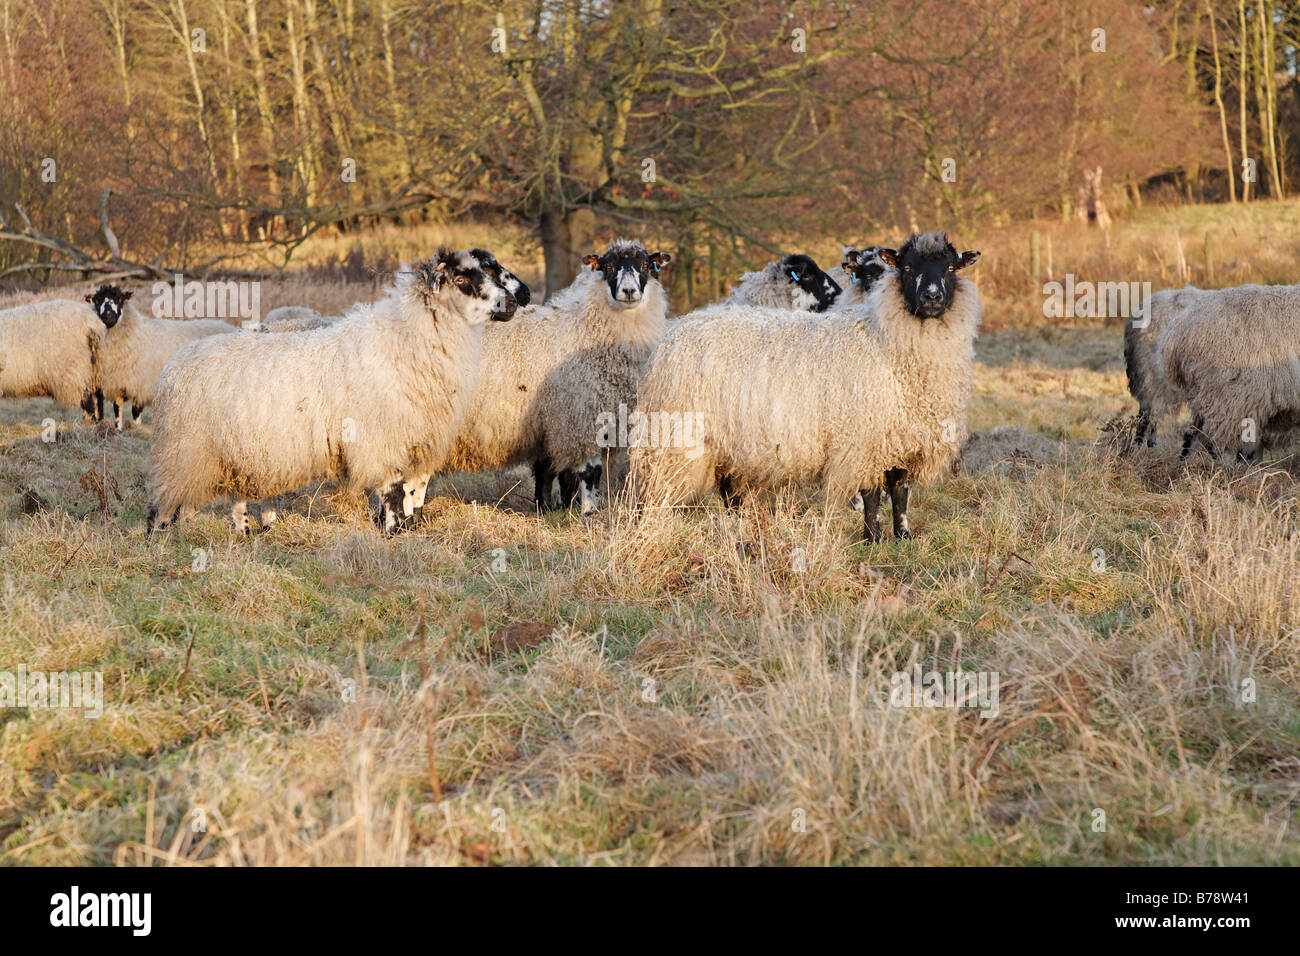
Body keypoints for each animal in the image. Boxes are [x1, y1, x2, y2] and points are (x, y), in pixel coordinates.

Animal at [86, 283, 238, 428]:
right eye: (97, 300)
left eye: (119, 299)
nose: (108, 317)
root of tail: (230, 327)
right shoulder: (118, 384)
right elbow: (117, 412)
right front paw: (118, 430)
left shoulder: (143, 384)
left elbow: (136, 413)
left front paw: (137, 429)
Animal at [145, 249, 525, 535]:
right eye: (461, 280)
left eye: (489, 273)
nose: (511, 303)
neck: (409, 339)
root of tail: (172, 366)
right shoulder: (382, 440)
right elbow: (393, 493)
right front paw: (394, 532)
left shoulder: (417, 437)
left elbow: (412, 492)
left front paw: (406, 527)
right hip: (184, 450)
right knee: (160, 500)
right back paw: (157, 539)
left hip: (234, 453)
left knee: (232, 496)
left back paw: (243, 532)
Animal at [432, 239, 670, 517]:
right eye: (609, 267)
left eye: (645, 265)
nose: (629, 291)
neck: (586, 327)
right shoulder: (579, 418)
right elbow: (590, 472)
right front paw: (589, 512)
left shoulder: (551, 427)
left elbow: (553, 474)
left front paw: (554, 508)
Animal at [630, 232, 982, 542]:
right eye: (907, 268)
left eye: (951, 268)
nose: (931, 298)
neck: (885, 341)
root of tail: (677, 329)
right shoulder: (864, 439)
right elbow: (871, 495)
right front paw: (873, 538)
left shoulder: (905, 437)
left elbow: (900, 492)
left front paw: (904, 537)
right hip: (675, 437)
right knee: (658, 489)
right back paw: (652, 527)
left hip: (731, 442)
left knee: (729, 491)